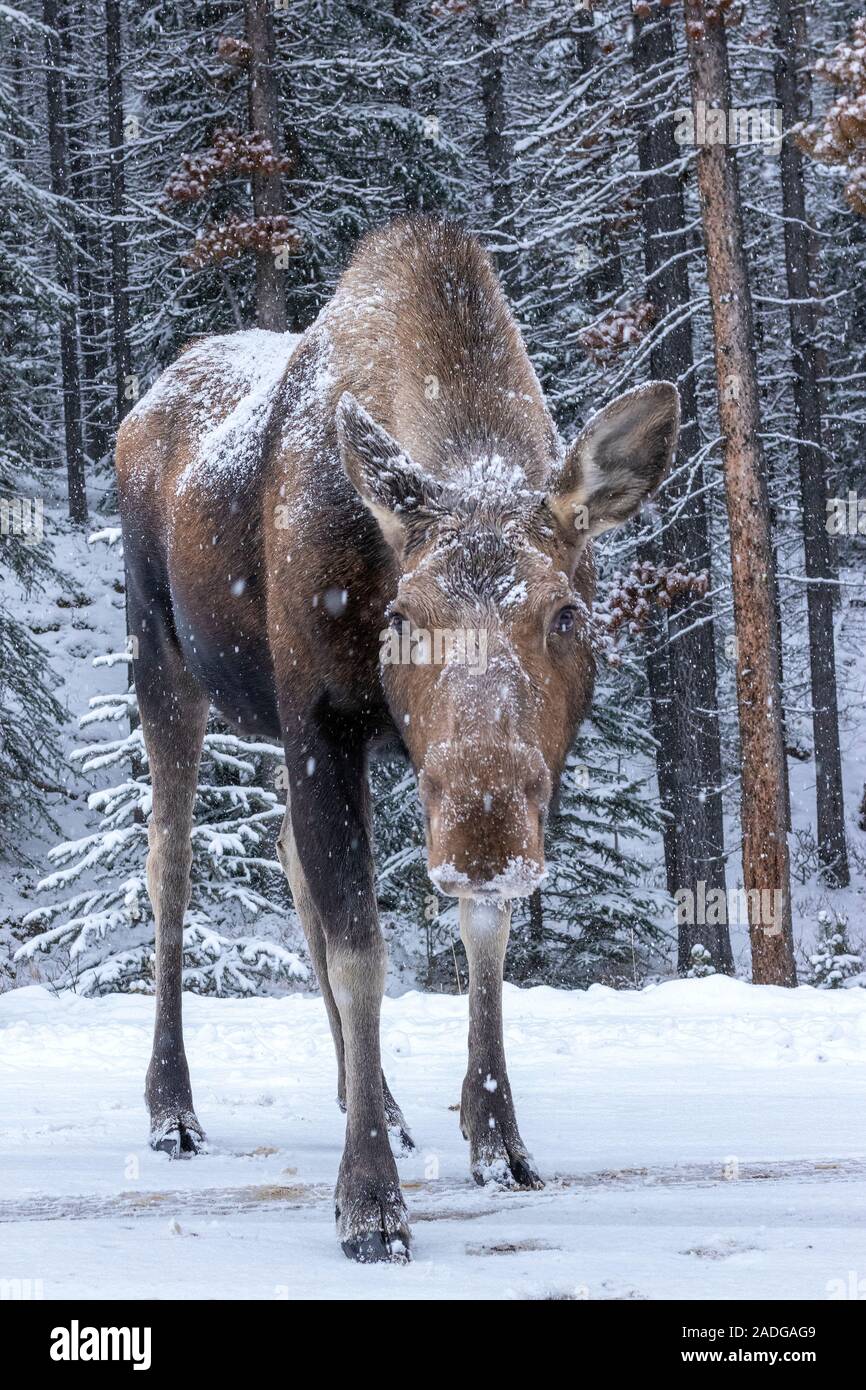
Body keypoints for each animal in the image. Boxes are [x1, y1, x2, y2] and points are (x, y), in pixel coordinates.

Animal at [115, 215, 679, 1263]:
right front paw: (369, 1201)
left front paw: (496, 1138)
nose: (483, 830)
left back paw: (370, 1094)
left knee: (285, 852)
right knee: (169, 862)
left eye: (568, 614)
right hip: (162, 655)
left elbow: (480, 935)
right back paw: (173, 1108)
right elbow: (363, 951)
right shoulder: (318, 717)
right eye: (403, 616)